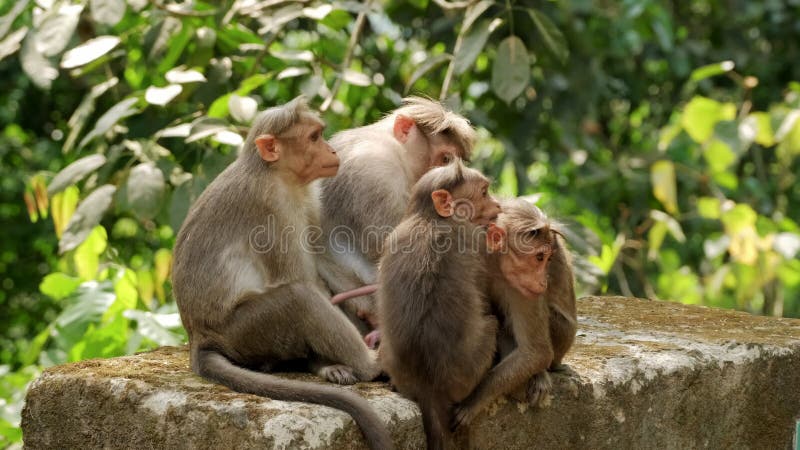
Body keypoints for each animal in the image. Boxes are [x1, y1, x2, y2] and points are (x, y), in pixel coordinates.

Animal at [171, 97, 392, 450]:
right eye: (314, 137)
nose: (331, 150)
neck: (271, 171)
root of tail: (198, 336)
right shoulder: (272, 206)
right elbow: (299, 278)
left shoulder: (308, 195)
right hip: (245, 332)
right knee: (299, 299)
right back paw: (370, 365)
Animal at [377, 159, 501, 450]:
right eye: (483, 193)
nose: (499, 205)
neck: (432, 218)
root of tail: (428, 385)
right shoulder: (474, 241)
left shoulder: (393, 236)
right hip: (466, 374)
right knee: (491, 324)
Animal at [452, 198, 577, 429]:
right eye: (539, 257)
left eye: (548, 258)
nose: (543, 281)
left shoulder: (522, 289)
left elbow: (536, 351)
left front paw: (474, 399)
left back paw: (540, 376)